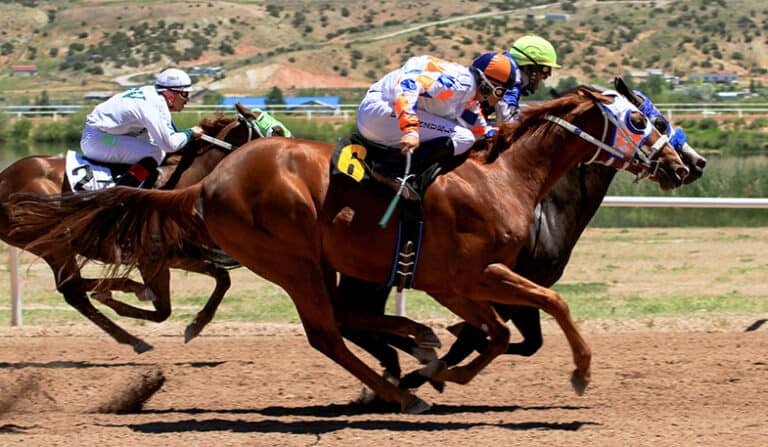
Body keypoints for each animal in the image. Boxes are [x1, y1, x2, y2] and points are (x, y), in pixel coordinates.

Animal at [0, 103, 263, 353]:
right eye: (268, 130)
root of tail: (4, 177)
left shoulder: (178, 256)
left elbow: (222, 279)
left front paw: (195, 325)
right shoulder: (151, 260)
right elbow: (163, 310)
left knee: (74, 289)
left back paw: (124, 306)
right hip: (55, 244)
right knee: (73, 289)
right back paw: (130, 319)